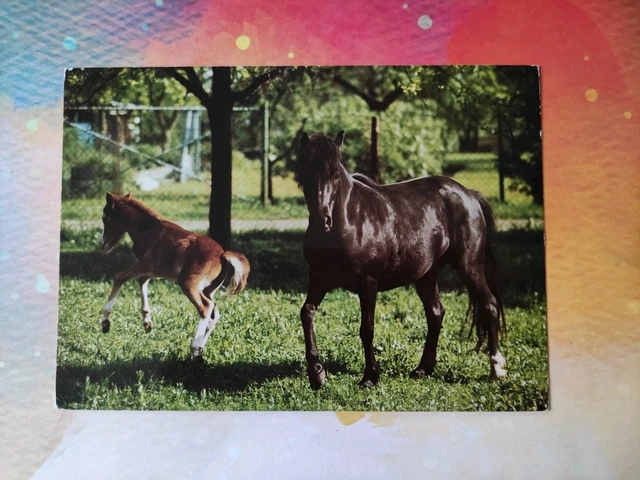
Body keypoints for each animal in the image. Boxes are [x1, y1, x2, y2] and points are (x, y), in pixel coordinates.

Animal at [98, 192, 250, 362]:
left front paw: (105, 321)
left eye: (106, 218)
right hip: (208, 289)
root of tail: (223, 255)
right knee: (214, 312)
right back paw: (199, 350)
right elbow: (141, 281)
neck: (149, 231)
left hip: (188, 283)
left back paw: (194, 348)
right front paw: (147, 322)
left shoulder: (146, 264)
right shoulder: (154, 271)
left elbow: (120, 277)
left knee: (205, 307)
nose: (102, 244)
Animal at [295, 131, 506, 390]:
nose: (322, 220)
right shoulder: (319, 280)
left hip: (469, 266)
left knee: (489, 305)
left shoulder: (368, 283)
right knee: (436, 313)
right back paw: (423, 368)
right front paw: (317, 373)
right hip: (427, 275)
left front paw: (370, 377)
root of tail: (469, 196)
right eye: (305, 173)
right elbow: (306, 313)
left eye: (335, 174)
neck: (350, 221)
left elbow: (367, 329)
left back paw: (497, 369)